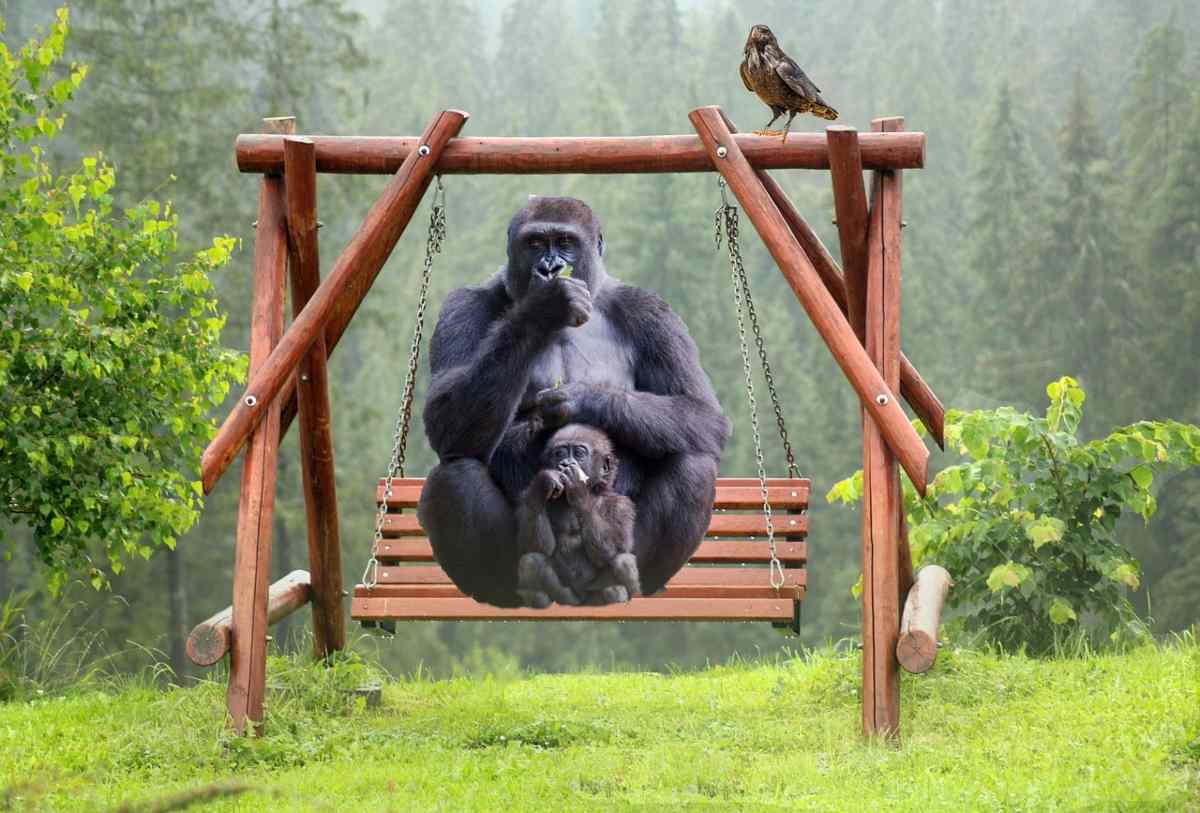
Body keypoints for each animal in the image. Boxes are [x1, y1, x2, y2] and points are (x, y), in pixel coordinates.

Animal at [515, 424, 639, 608]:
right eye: (560, 453)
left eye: (579, 453)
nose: (566, 463)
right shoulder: (525, 496)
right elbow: (534, 546)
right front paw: (544, 481)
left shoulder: (622, 505)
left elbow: (615, 548)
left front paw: (578, 489)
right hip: (564, 598)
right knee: (531, 561)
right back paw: (538, 598)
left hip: (592, 599)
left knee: (623, 561)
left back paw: (618, 594)